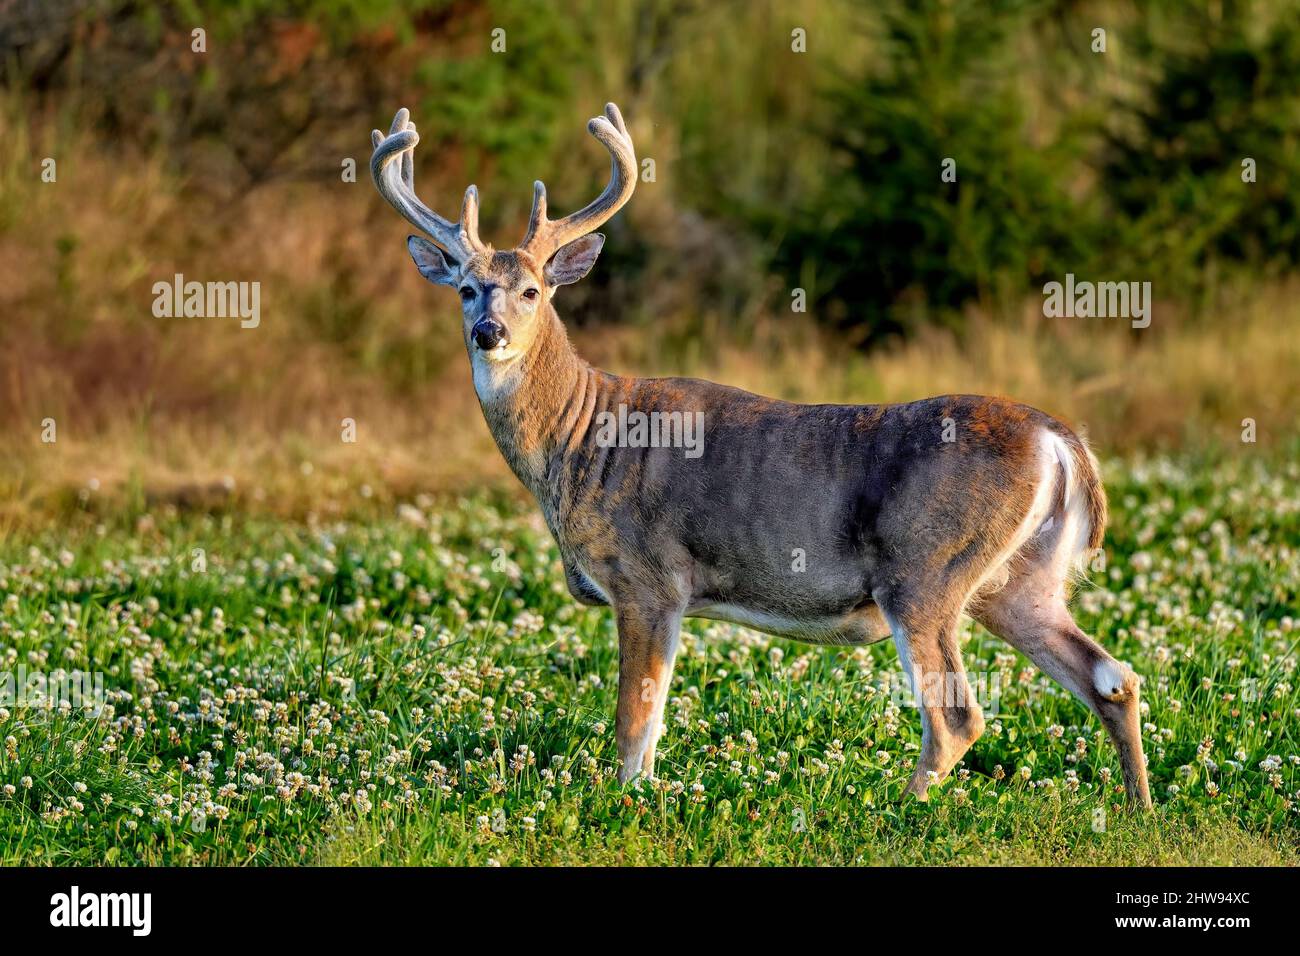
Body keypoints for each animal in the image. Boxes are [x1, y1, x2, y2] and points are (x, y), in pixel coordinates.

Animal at [369, 103, 1153, 809]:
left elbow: (633, 723)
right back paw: (1138, 807)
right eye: (466, 290)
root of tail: (1060, 440)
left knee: (958, 715)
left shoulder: (648, 577)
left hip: (925, 568)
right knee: (1112, 676)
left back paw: (897, 811)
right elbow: (651, 725)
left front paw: (624, 805)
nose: (490, 332)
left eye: (532, 290)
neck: (581, 434)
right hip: (1019, 581)